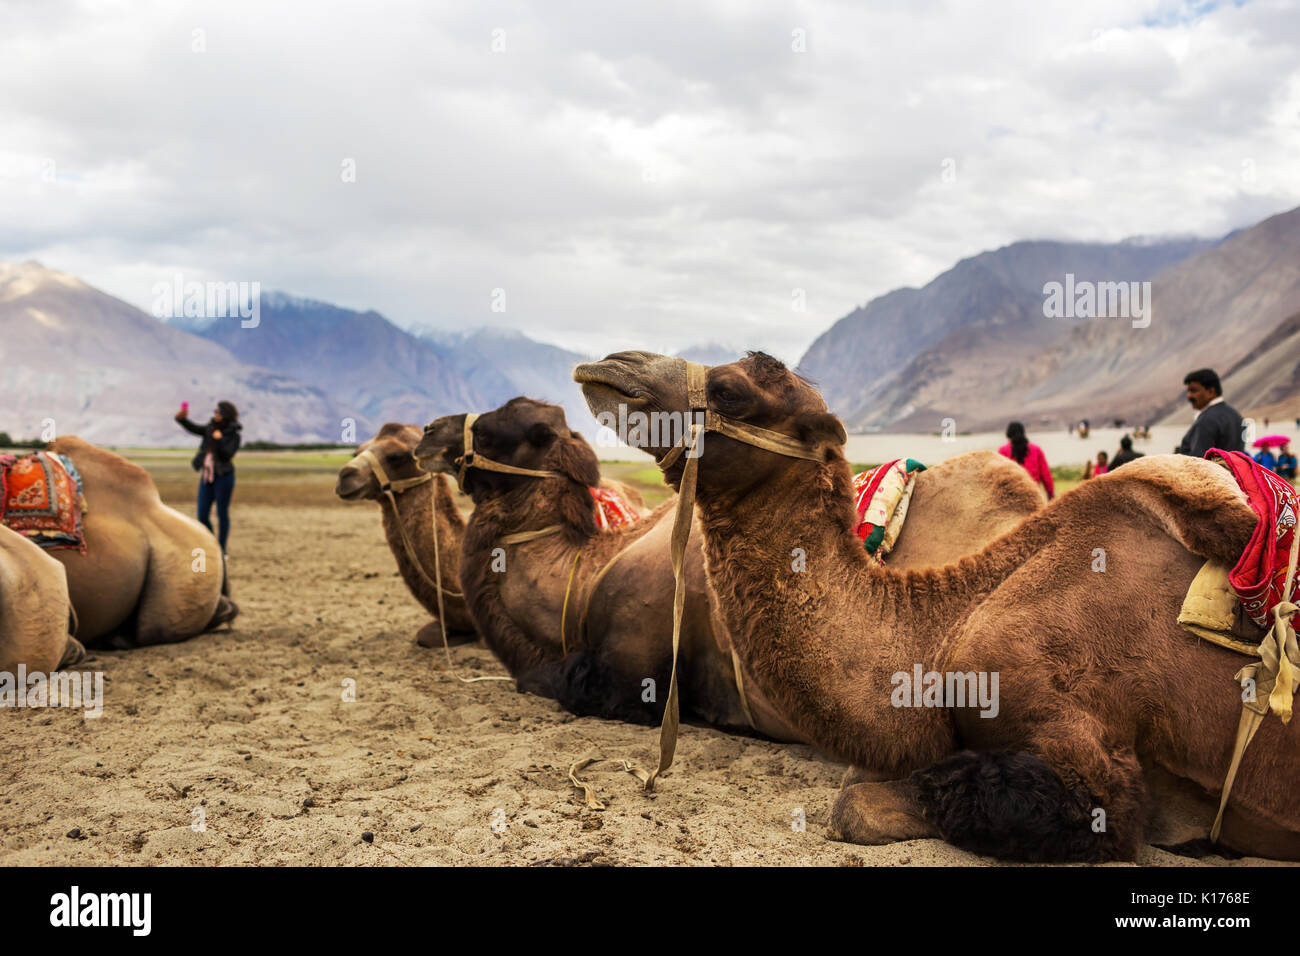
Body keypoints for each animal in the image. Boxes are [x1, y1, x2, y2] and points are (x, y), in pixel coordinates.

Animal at [575, 349, 1300, 861]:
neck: (948, 624)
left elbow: (862, 805)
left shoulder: (1091, 761)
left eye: (730, 390)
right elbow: (858, 792)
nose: (611, 366)